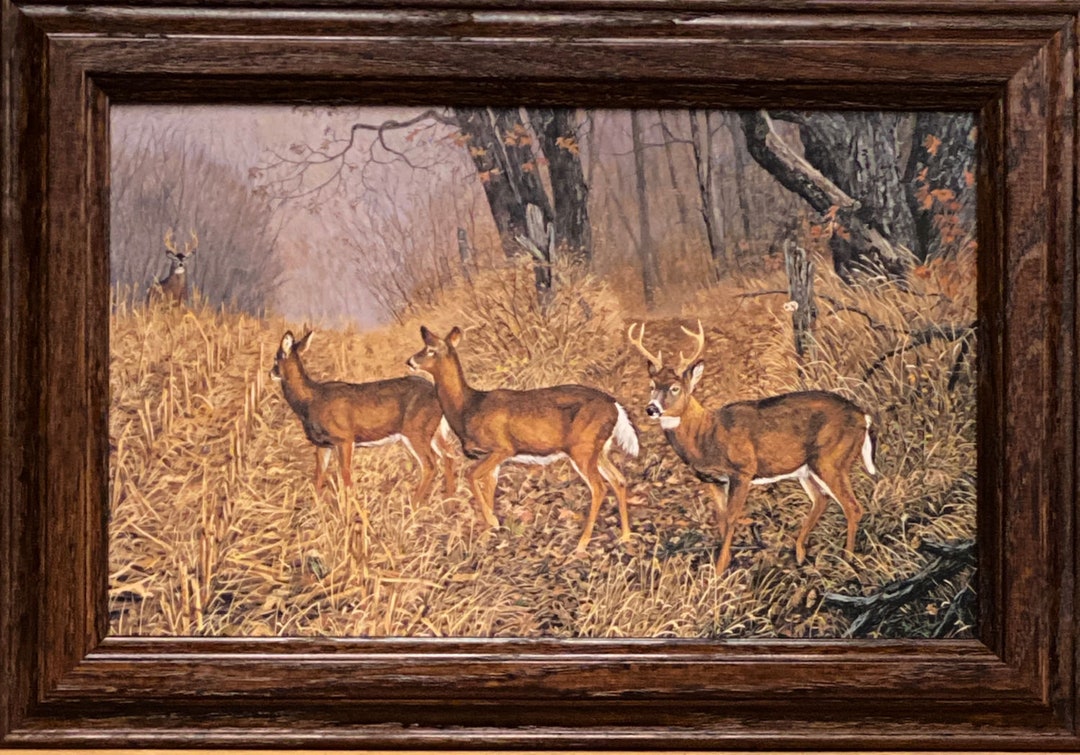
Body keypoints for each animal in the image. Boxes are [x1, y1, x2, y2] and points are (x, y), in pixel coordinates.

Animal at [270, 330, 456, 503]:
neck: (310, 400)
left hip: (415, 430)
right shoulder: (323, 444)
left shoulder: (345, 438)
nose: (270, 373)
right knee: (448, 456)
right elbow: (318, 477)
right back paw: (448, 500)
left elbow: (345, 476)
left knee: (430, 465)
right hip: (434, 431)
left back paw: (414, 506)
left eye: (275, 359)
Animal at [406, 326, 639, 556]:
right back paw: (626, 536)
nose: (409, 361)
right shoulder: (493, 458)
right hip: (598, 450)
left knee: (599, 488)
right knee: (619, 480)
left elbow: (471, 475)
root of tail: (615, 405)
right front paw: (486, 536)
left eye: (430, 350)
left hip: (582, 448)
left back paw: (582, 544)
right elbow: (488, 489)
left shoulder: (503, 447)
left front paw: (492, 522)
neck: (468, 408)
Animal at [628, 320, 876, 574]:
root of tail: (864, 417)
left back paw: (846, 559)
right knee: (821, 499)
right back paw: (800, 555)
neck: (706, 436)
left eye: (675, 388)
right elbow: (720, 518)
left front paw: (719, 571)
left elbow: (731, 517)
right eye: (652, 385)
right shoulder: (714, 480)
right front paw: (725, 562)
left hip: (831, 459)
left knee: (852, 506)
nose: (651, 408)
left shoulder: (742, 471)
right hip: (806, 469)